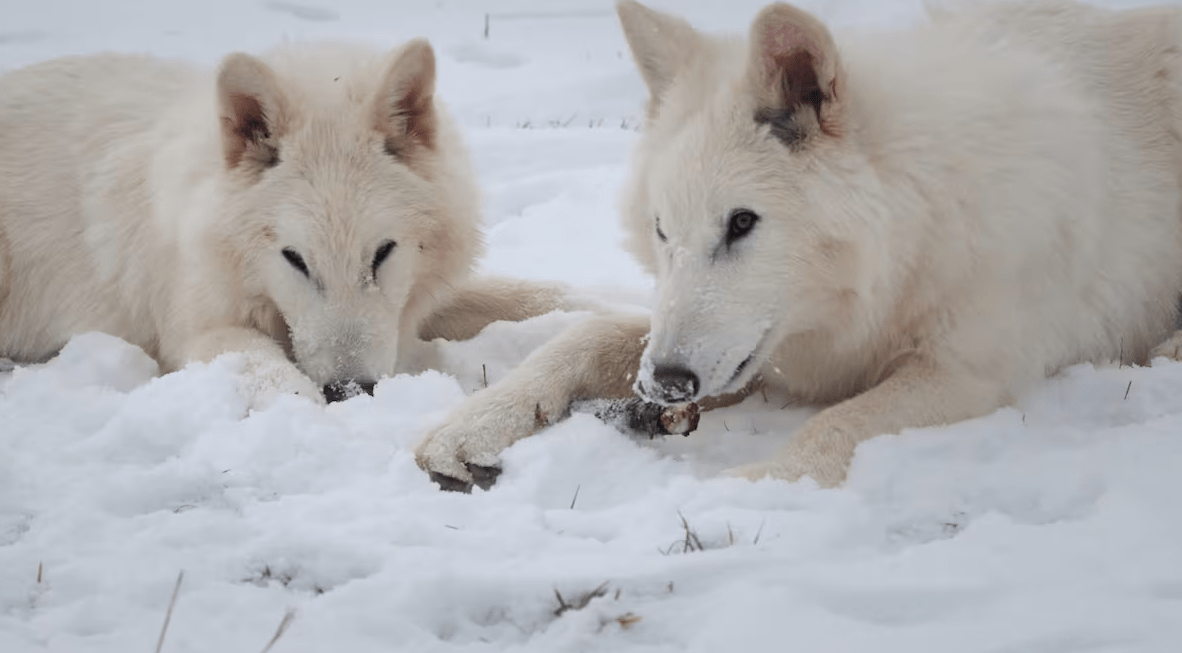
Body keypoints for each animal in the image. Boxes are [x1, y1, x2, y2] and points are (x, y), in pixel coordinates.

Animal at [0, 40, 574, 406]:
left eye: (382, 254)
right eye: (295, 259)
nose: (351, 392)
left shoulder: (418, 299)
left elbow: (539, 296)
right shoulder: (196, 332)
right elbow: (274, 377)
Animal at [416, 0, 1182, 491]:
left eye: (742, 223)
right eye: (662, 231)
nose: (665, 385)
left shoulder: (968, 371)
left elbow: (837, 425)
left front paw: (750, 491)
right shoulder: (760, 351)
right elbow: (585, 334)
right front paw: (473, 421)